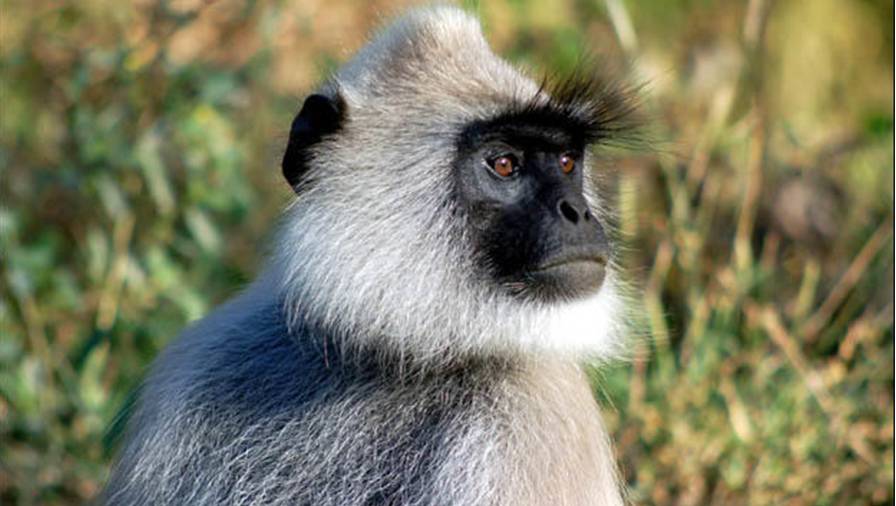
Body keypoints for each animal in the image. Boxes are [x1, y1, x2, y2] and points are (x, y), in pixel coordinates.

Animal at [101, 6, 640, 506]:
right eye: (505, 164)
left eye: (567, 163)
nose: (577, 211)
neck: (388, 356)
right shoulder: (197, 370)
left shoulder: (529, 416)